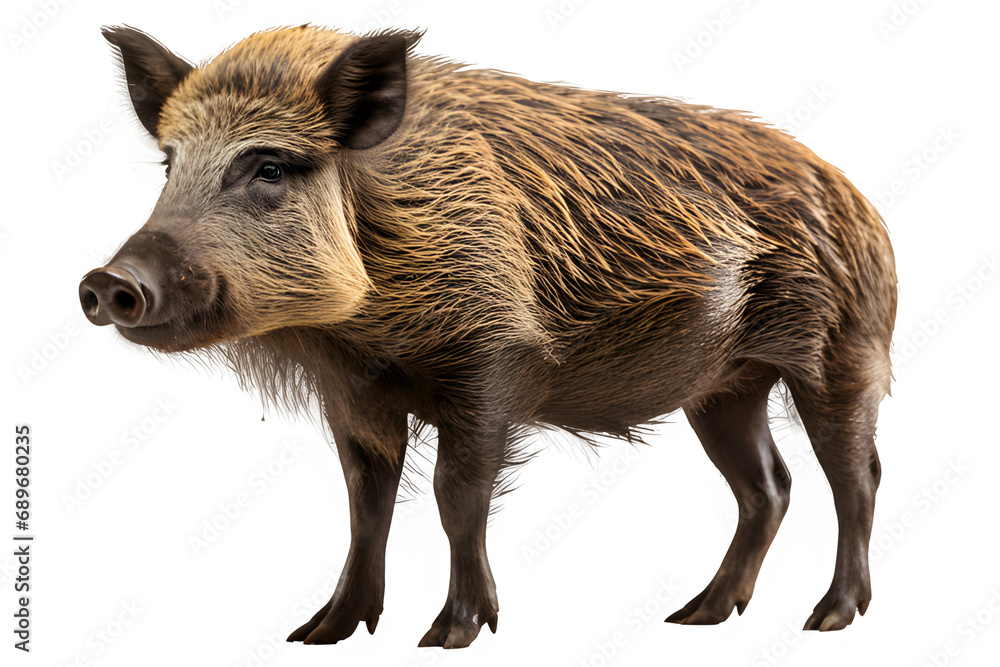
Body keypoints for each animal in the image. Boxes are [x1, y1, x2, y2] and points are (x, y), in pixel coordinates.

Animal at [79, 25, 897, 648]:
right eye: (170, 164)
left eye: (269, 166)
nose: (105, 282)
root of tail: (860, 200)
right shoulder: (355, 396)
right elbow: (364, 502)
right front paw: (318, 634)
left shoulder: (491, 359)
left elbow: (457, 495)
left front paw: (449, 635)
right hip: (726, 386)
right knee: (768, 485)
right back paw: (695, 617)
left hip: (842, 352)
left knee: (856, 474)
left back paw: (828, 619)